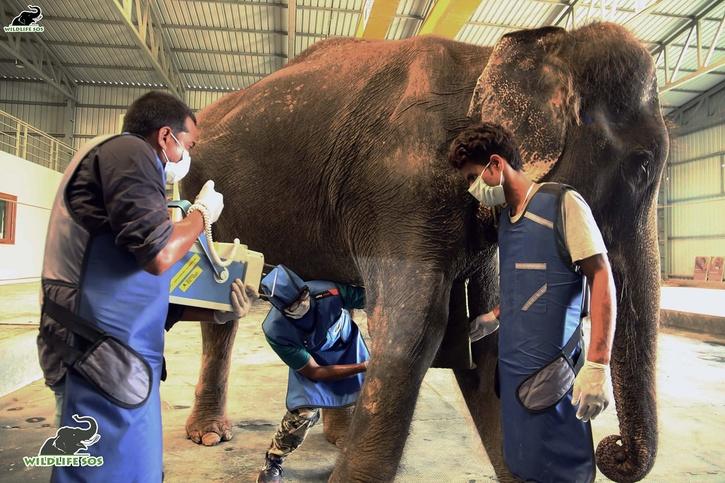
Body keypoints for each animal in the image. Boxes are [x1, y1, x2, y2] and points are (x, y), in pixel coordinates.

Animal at [180, 22, 668, 482]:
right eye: (643, 166)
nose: (612, 450)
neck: (490, 59)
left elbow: (486, 335)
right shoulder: (398, 185)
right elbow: (413, 328)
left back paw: (333, 433)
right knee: (222, 309)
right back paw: (210, 435)